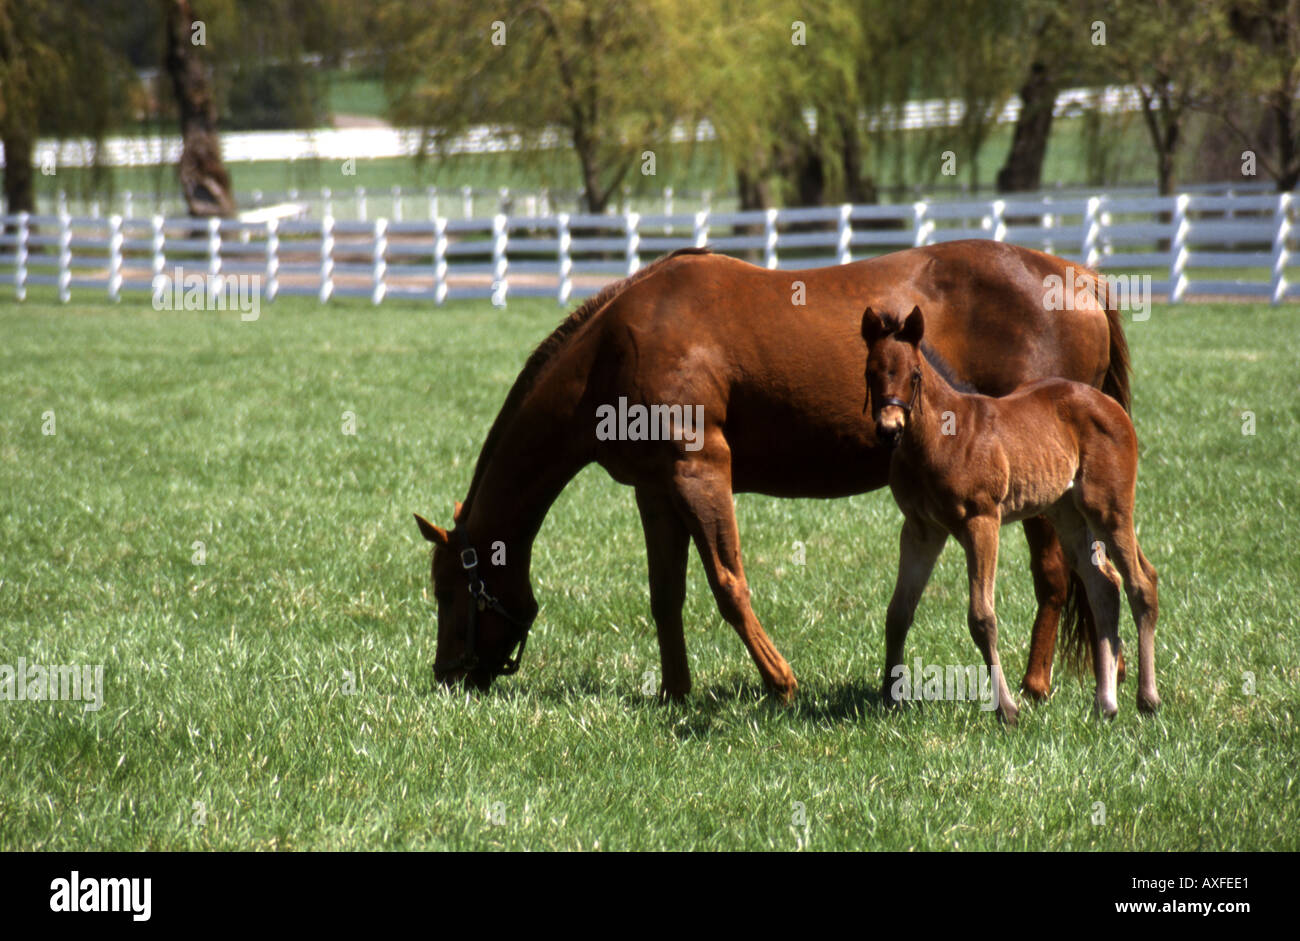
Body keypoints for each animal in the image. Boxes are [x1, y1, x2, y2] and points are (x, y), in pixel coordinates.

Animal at [413, 241, 1132, 703]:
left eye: (449, 591)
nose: (446, 674)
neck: (615, 347)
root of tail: (1080, 277)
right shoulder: (655, 490)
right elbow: (665, 593)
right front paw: (675, 692)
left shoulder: (700, 471)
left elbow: (728, 583)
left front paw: (779, 683)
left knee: (1054, 575)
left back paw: (1034, 687)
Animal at [861, 305, 1159, 722]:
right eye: (871, 372)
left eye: (915, 374)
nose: (890, 429)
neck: (941, 436)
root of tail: (1108, 403)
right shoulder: (921, 529)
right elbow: (898, 611)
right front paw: (891, 699)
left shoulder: (982, 522)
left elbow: (982, 617)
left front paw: (1007, 709)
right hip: (1067, 515)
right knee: (1103, 586)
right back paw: (1106, 703)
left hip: (1109, 509)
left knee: (1141, 583)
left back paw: (1147, 699)